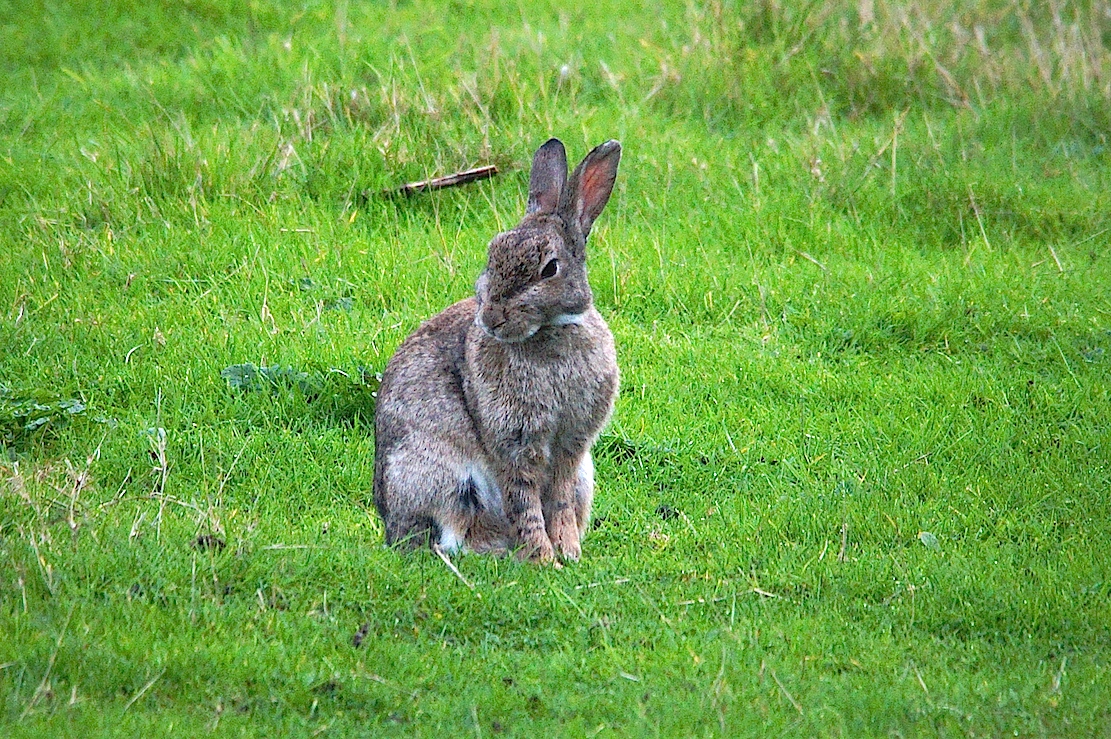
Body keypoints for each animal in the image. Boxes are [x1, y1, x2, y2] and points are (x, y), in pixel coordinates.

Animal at [373, 137, 621, 563]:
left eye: (549, 269)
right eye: (494, 253)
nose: (491, 317)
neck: (550, 332)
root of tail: (392, 530)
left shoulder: (571, 448)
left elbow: (559, 499)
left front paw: (567, 552)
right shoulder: (514, 442)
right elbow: (524, 501)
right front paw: (543, 558)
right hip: (435, 475)